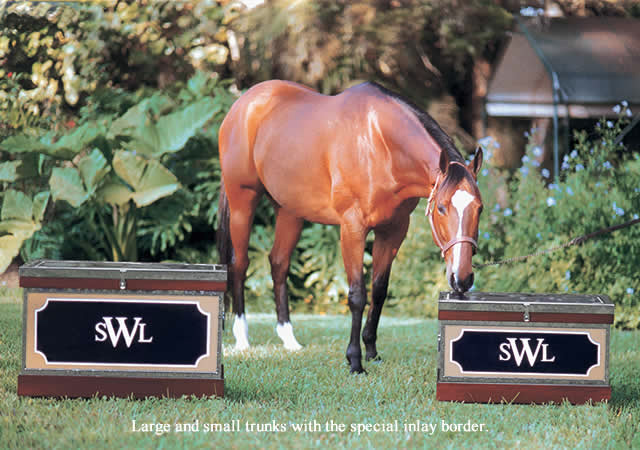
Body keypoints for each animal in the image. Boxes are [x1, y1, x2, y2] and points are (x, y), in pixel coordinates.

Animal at [217, 80, 483, 373]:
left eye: (480, 208)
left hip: (289, 211)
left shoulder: (393, 230)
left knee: (278, 264)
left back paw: (289, 339)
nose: (462, 278)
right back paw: (242, 338)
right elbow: (357, 295)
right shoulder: (352, 228)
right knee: (240, 264)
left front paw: (372, 351)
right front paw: (355, 361)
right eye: (442, 208)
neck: (379, 146)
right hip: (243, 201)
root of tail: (245, 102)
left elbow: (379, 291)